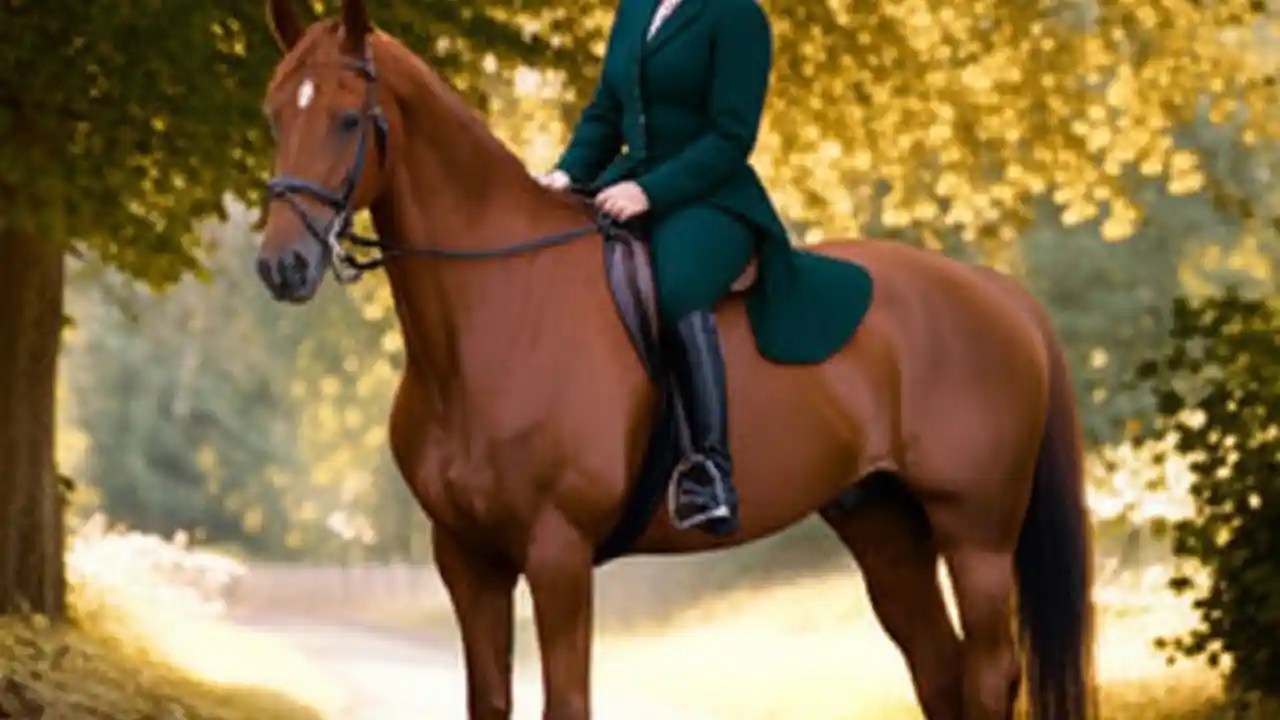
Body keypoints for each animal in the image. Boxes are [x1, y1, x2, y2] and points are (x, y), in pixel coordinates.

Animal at [253, 1, 1096, 718]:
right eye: (274, 114)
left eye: (348, 119)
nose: (281, 266)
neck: (493, 320)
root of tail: (997, 292)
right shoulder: (466, 557)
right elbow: (488, 700)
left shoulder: (558, 552)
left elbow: (566, 702)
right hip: (886, 526)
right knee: (938, 668)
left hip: (975, 532)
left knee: (988, 674)